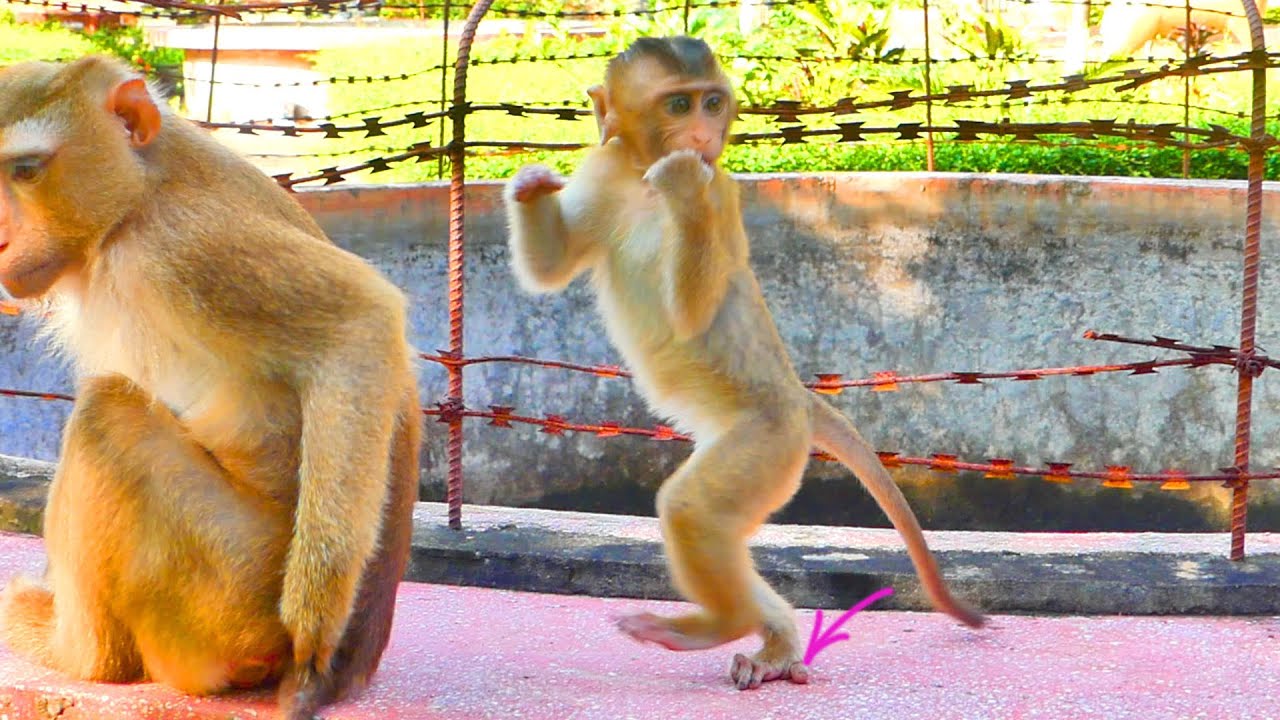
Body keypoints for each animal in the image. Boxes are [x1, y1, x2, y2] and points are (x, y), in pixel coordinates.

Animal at [0, 56, 422, 720]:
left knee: (106, 416)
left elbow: (362, 326)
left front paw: (315, 627)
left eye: (26, 171)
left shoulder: (184, 247)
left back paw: (81, 655)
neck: (137, 197)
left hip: (225, 599)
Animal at [503, 36, 984, 692]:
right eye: (679, 104)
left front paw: (681, 182)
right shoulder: (602, 171)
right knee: (713, 524)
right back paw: (774, 642)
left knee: (694, 510)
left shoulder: (720, 193)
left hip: (768, 442)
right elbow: (551, 268)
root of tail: (797, 394)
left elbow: (691, 312)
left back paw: (718, 624)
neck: (639, 179)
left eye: (712, 103)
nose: (703, 134)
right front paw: (529, 184)